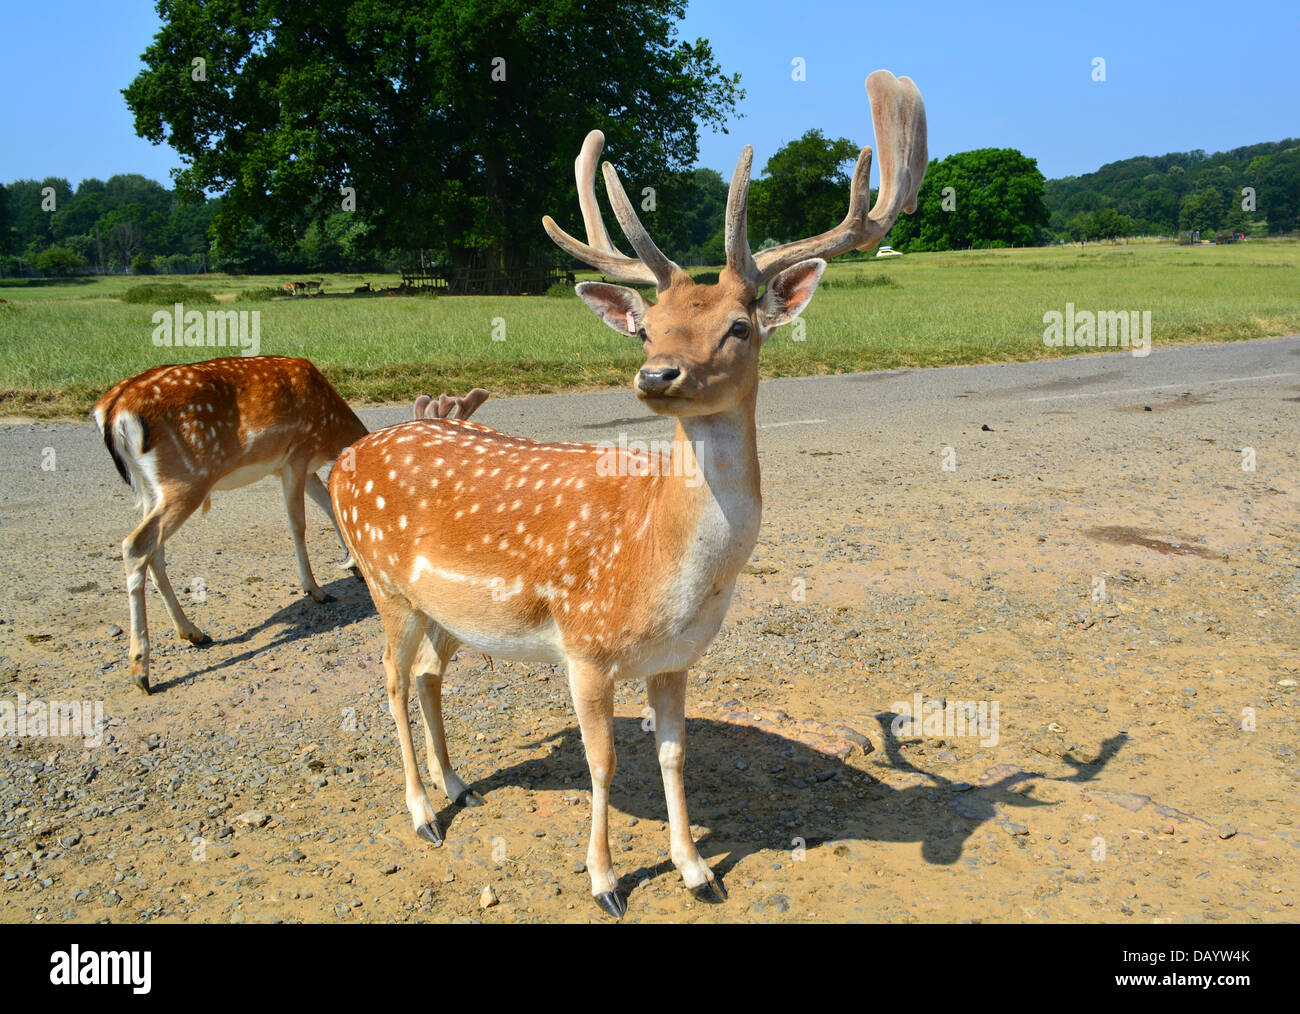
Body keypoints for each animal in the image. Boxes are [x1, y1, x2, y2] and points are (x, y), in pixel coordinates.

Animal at [331, 69, 926, 919]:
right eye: (651, 328)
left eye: (740, 325)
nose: (657, 374)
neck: (663, 568)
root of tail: (346, 456)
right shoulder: (584, 645)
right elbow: (604, 765)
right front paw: (606, 880)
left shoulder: (676, 659)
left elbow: (675, 757)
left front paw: (696, 869)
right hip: (384, 584)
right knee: (385, 681)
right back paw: (421, 813)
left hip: (448, 610)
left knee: (426, 677)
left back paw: (459, 786)